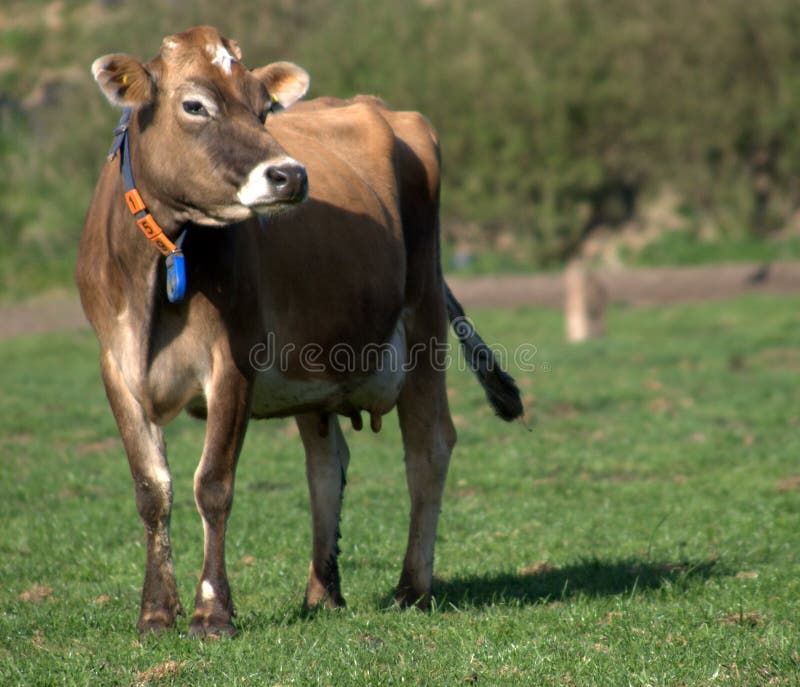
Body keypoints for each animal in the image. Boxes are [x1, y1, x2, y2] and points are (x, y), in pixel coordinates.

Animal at [76, 26, 522, 637]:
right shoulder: (115, 366)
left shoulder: (234, 360)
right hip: (318, 366)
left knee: (428, 448)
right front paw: (156, 613)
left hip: (424, 318)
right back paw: (321, 593)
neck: (158, 270)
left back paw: (412, 587)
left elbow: (212, 485)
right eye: (194, 106)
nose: (290, 174)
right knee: (326, 467)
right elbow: (151, 490)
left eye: (263, 108)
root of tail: (382, 107)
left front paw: (212, 612)